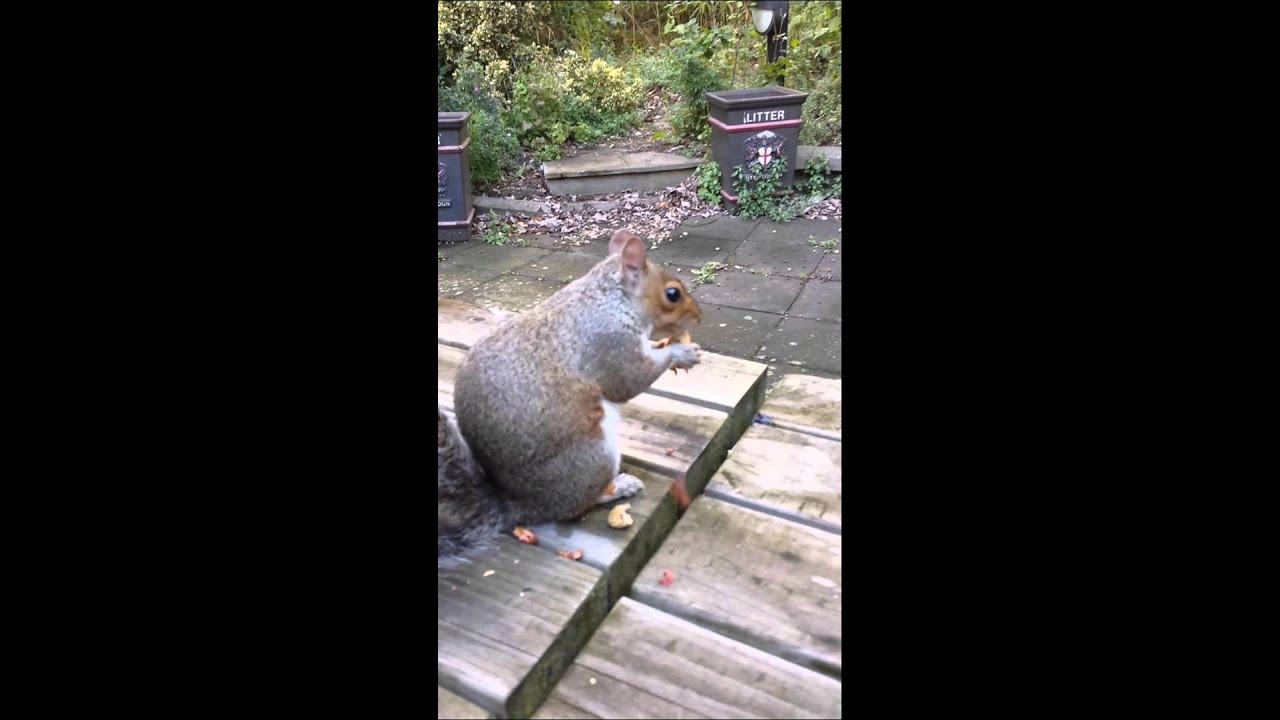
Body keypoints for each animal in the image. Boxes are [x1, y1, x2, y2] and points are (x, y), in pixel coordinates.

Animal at [439, 228, 704, 568]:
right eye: (673, 294)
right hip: (593, 456)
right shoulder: (609, 343)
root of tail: (523, 506)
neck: (611, 298)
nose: (698, 316)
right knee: (582, 503)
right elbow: (627, 382)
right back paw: (619, 487)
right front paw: (681, 353)